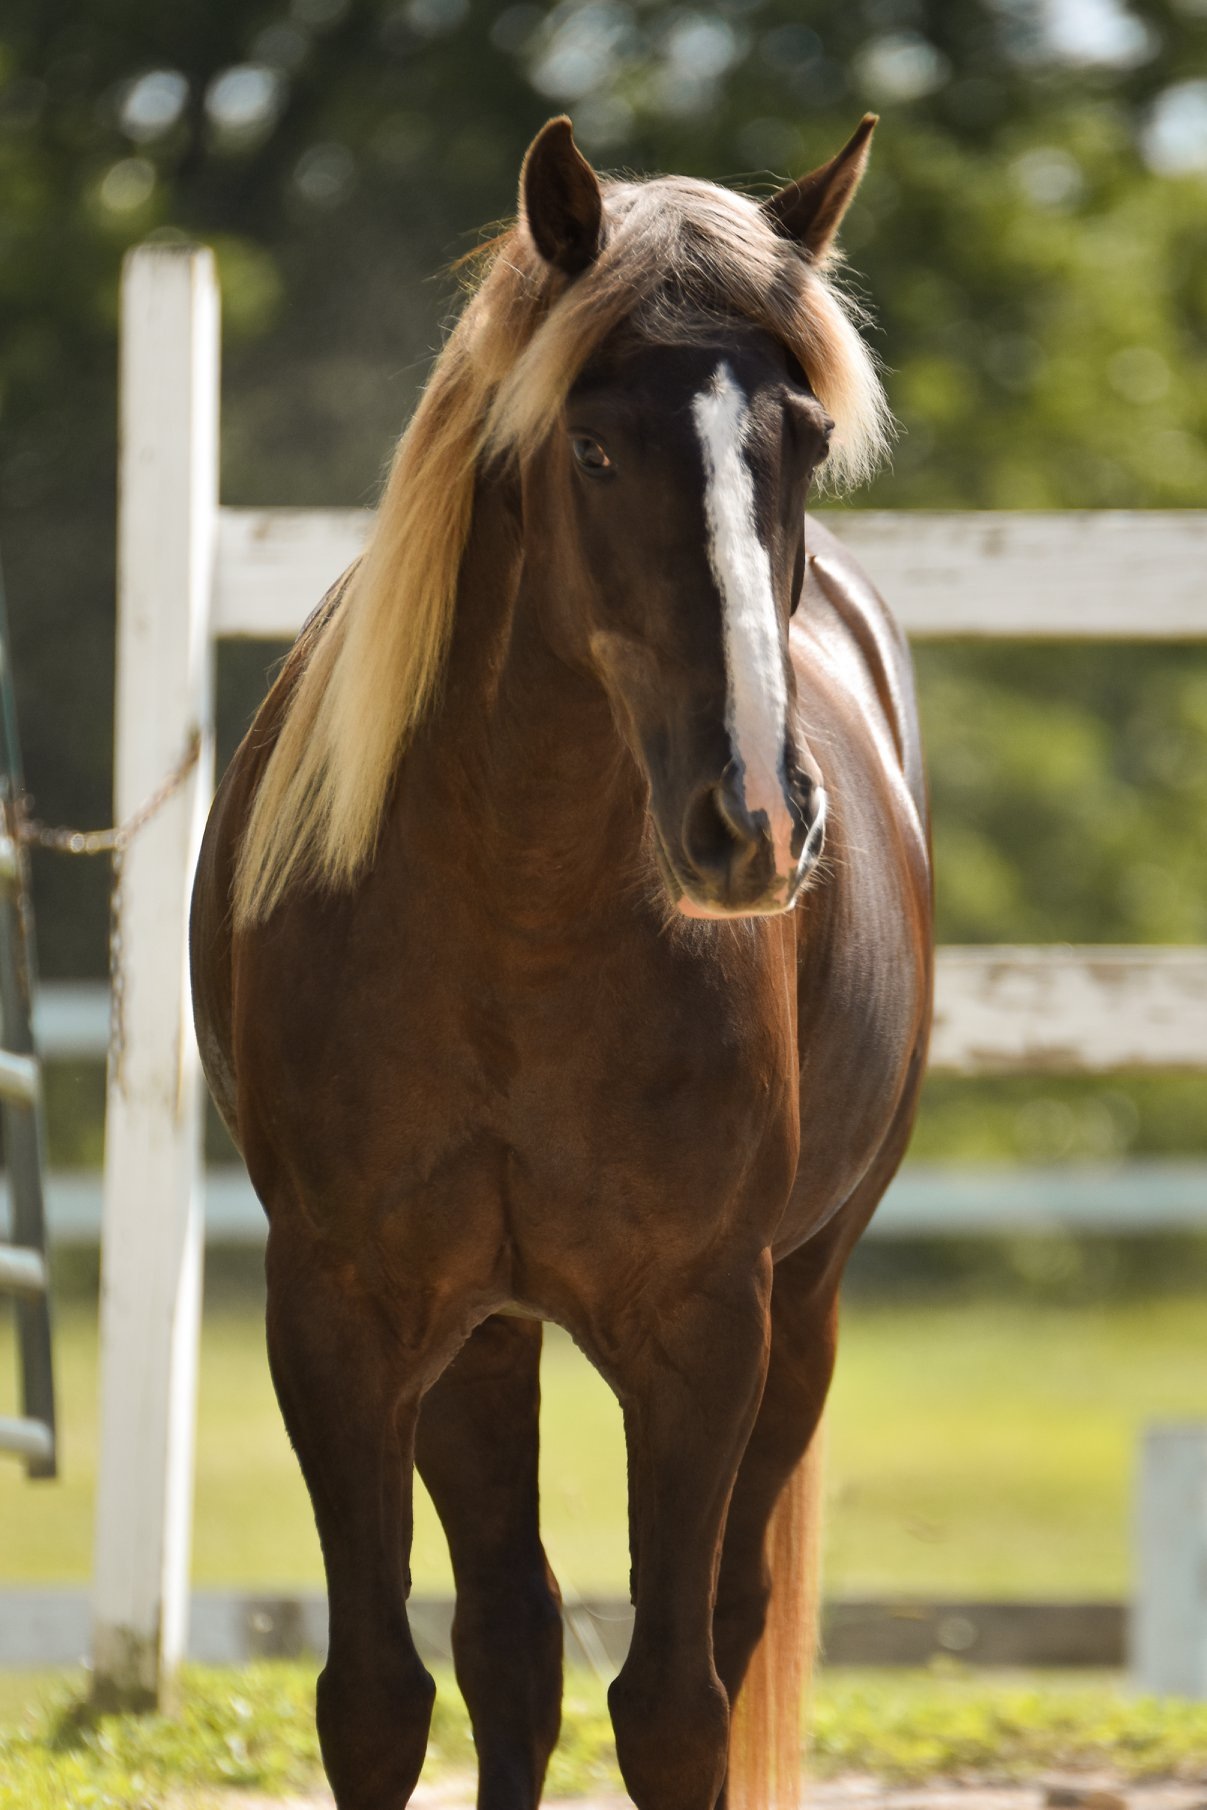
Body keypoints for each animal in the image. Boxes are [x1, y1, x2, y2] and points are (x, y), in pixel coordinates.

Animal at [191, 113, 932, 1810]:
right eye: (592, 450)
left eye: (799, 443)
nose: (751, 816)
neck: (512, 911)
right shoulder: (341, 1313)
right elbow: (379, 1696)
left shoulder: (703, 1328)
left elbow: (671, 1704)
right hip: (483, 1335)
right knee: (508, 1644)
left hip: (800, 1306)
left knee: (716, 1618)